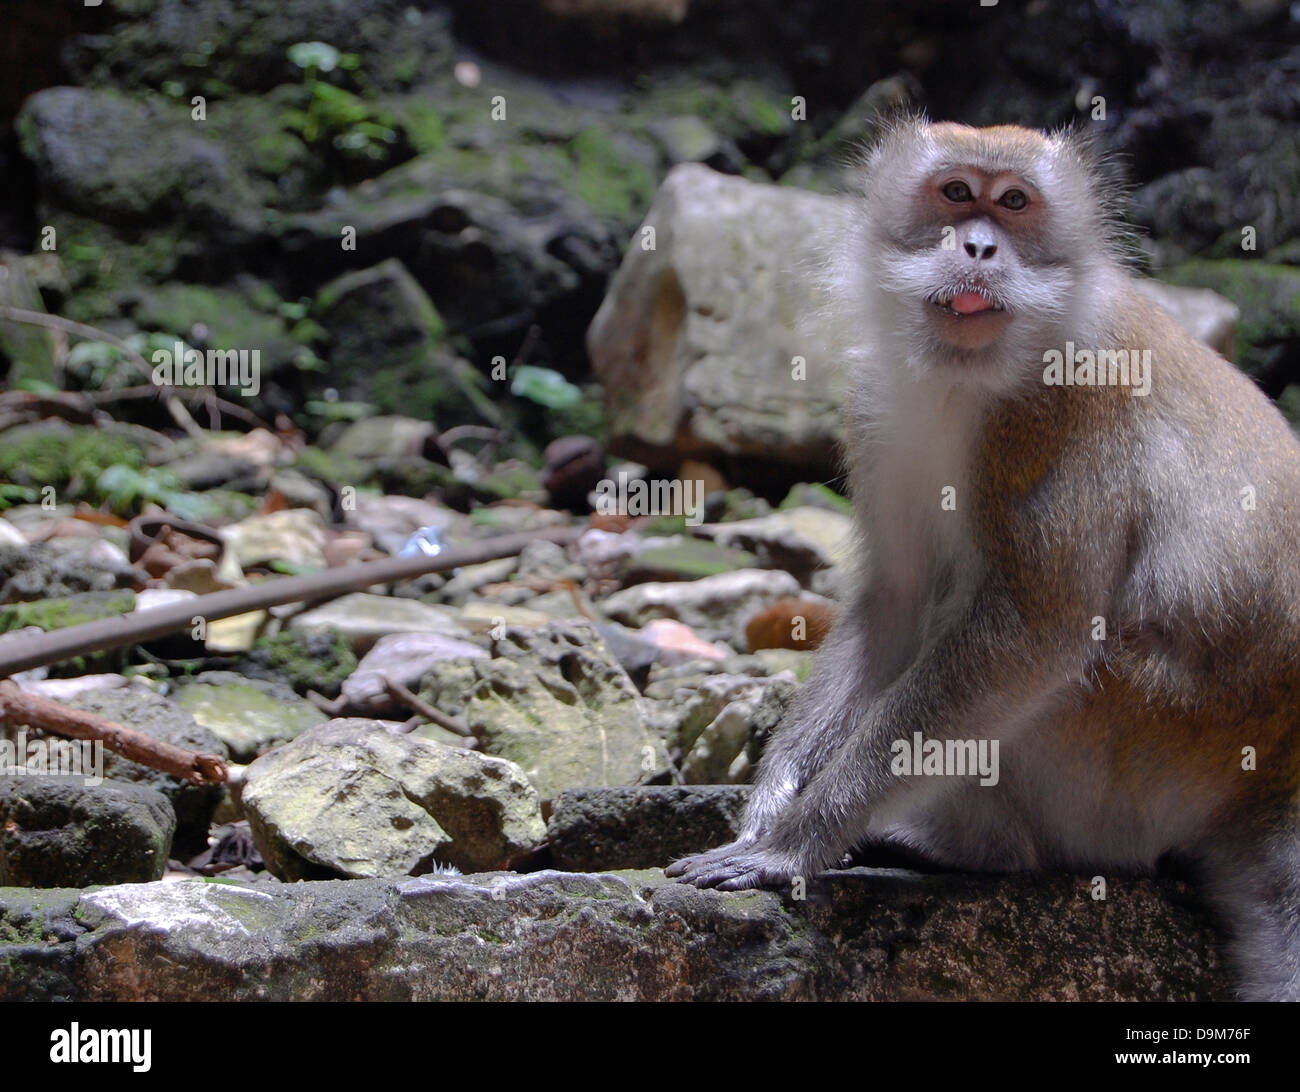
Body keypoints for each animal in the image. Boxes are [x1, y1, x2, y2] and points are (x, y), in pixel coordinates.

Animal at [666, 118, 1300, 1002]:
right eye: (958, 193)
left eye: (1015, 203)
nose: (977, 246)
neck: (964, 379)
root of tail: (1271, 776)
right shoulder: (876, 404)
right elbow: (893, 600)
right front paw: (773, 803)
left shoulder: (1057, 413)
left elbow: (1035, 634)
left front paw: (798, 839)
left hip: (1139, 761)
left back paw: (971, 847)